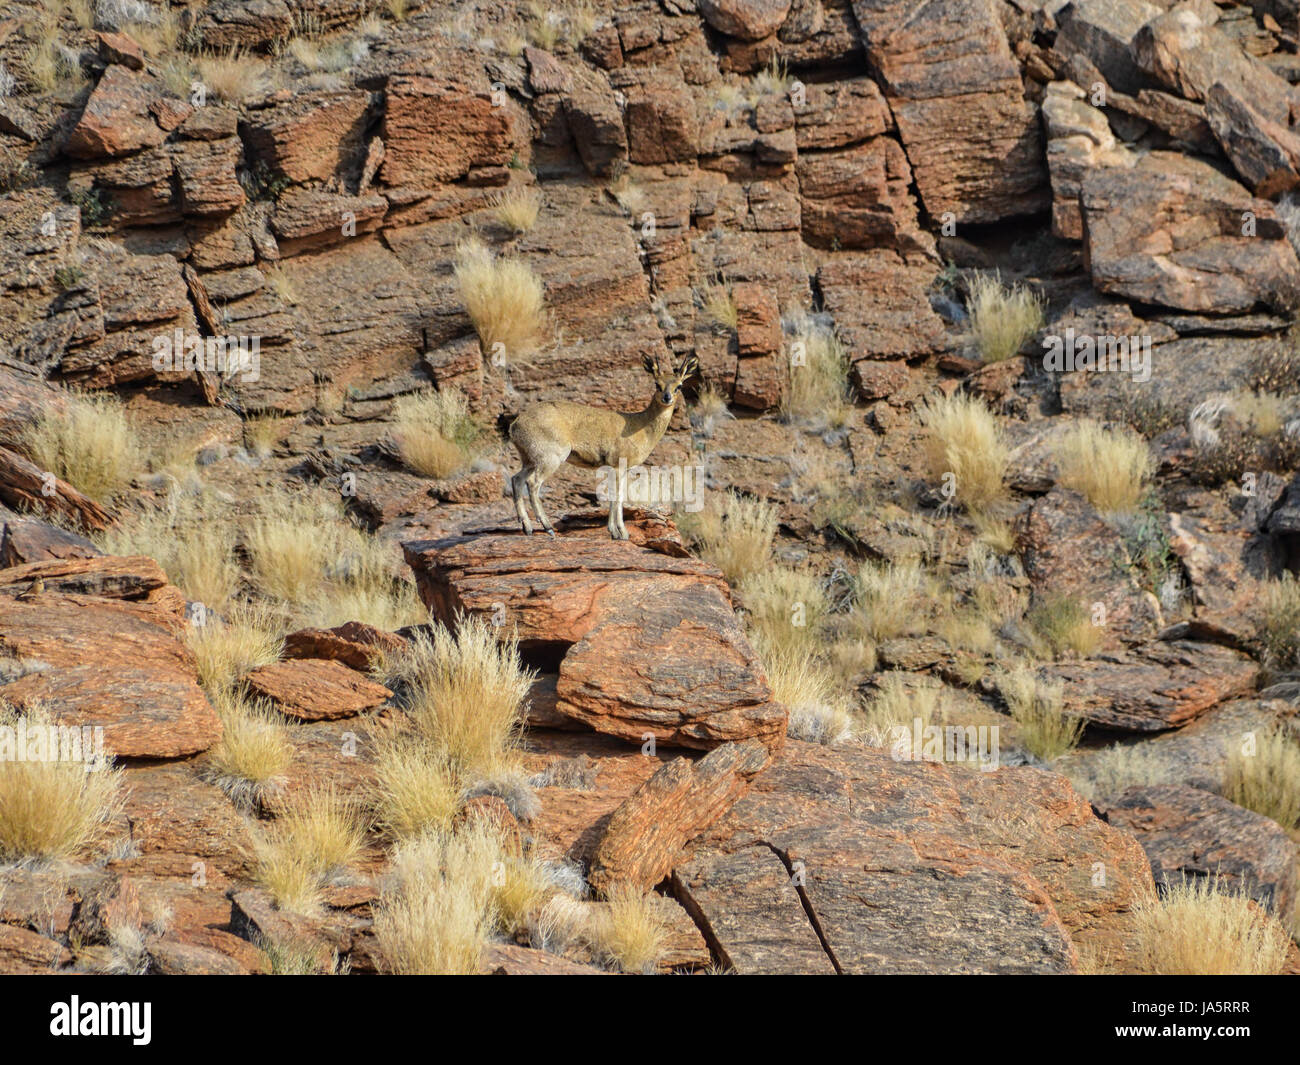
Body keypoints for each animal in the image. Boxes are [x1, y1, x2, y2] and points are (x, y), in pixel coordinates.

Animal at [509, 354, 700, 540]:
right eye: (657, 384)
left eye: (679, 386)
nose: (667, 398)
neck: (641, 427)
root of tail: (516, 424)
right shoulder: (617, 466)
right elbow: (617, 497)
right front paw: (619, 532)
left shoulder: (621, 469)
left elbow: (617, 497)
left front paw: (617, 532)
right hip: (549, 459)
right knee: (532, 483)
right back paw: (547, 527)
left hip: (529, 461)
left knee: (516, 479)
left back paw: (527, 527)